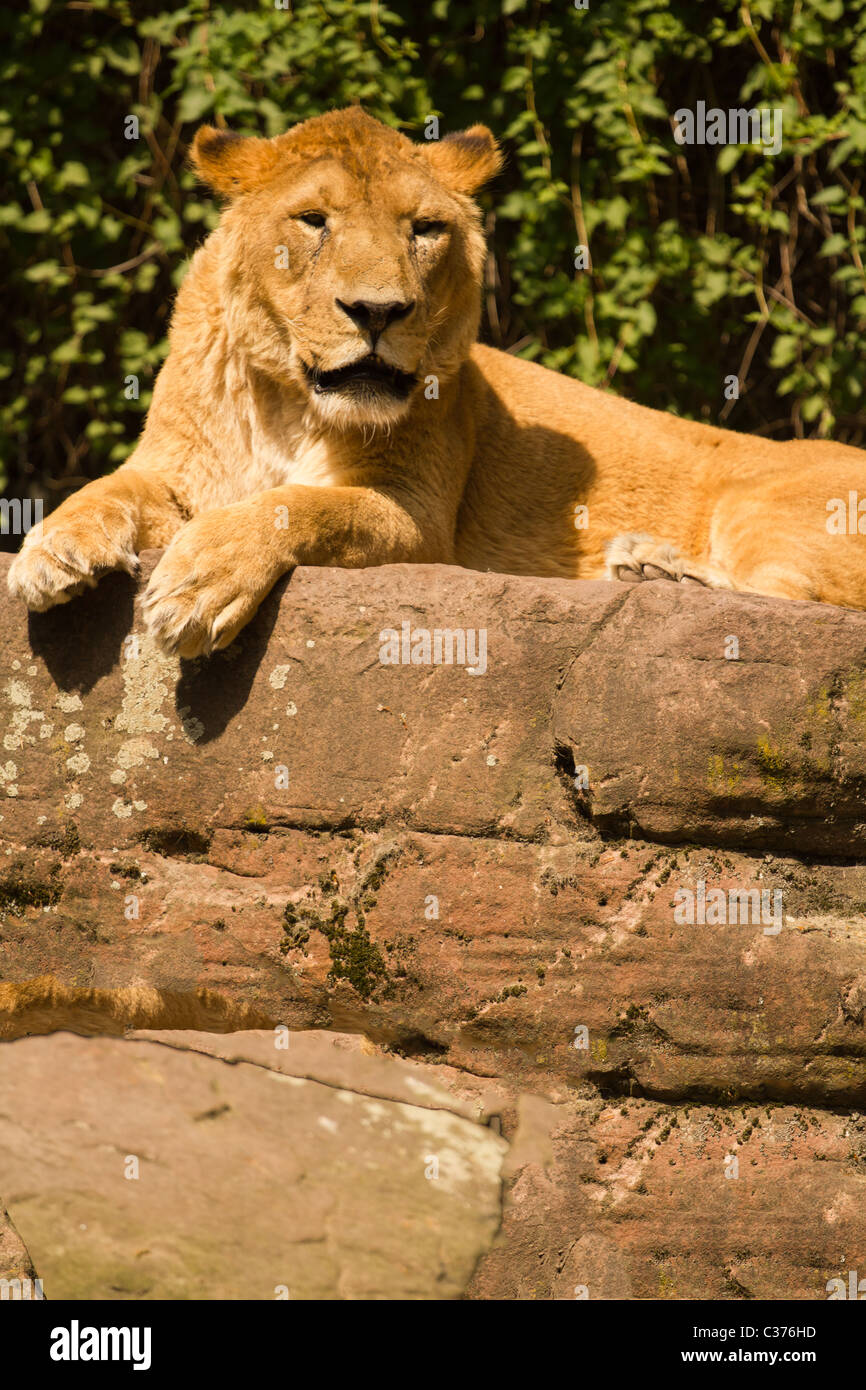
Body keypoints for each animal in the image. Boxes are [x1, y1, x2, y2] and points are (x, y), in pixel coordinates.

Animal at [9, 105, 866, 656]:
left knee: (801, 600)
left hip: (763, 503)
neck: (289, 401)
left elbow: (300, 507)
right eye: (314, 221)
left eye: (423, 229)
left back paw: (659, 568)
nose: (378, 311)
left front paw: (199, 583)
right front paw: (49, 551)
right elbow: (109, 487)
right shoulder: (175, 471)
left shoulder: (418, 518)